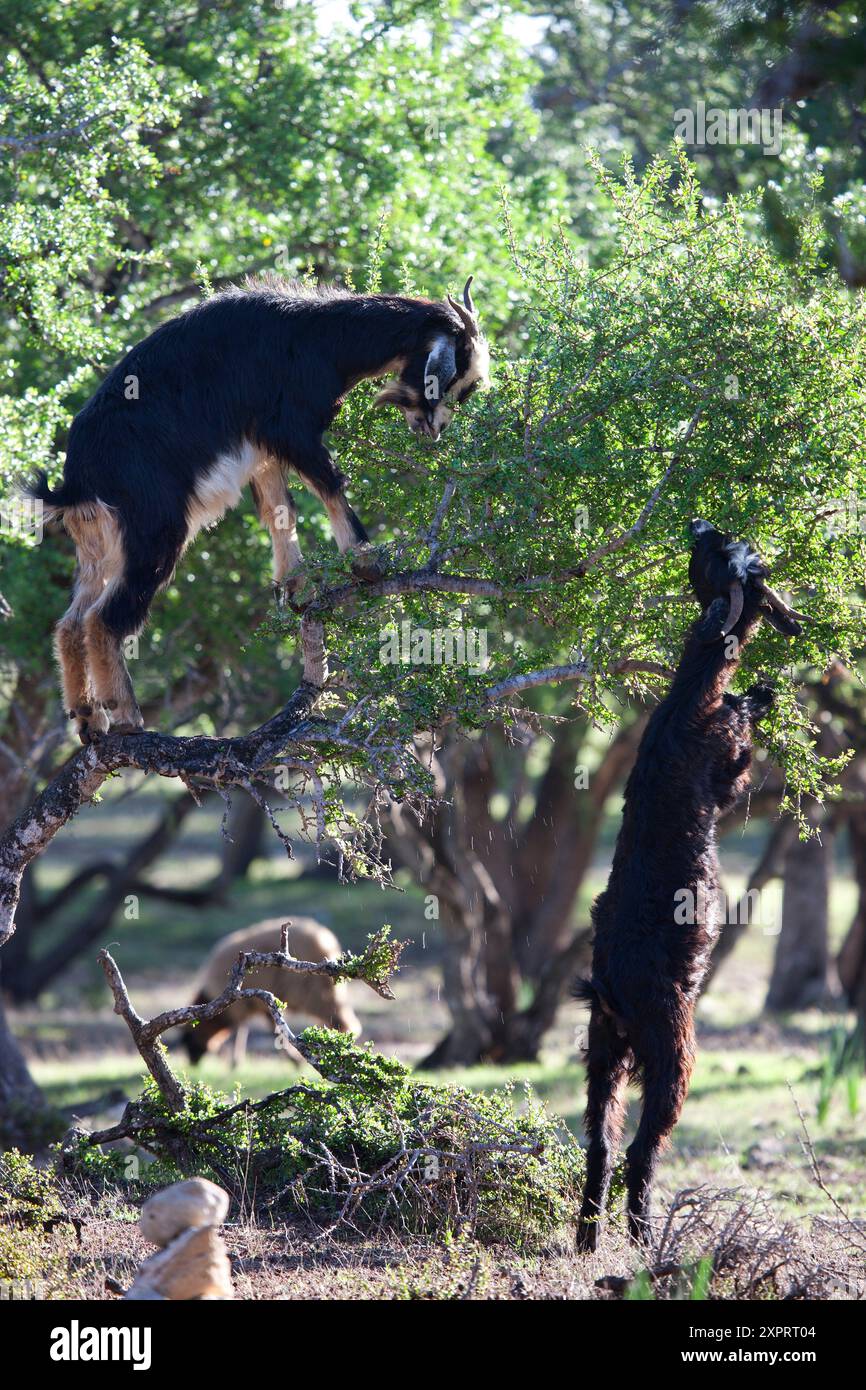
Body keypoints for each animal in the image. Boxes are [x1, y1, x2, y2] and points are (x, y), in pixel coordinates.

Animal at [30, 275, 489, 742]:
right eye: (455, 377)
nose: (435, 428)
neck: (319, 335)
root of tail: (76, 481)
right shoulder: (289, 428)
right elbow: (330, 483)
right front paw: (365, 561)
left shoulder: (262, 450)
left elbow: (279, 510)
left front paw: (297, 584)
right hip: (154, 532)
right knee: (105, 620)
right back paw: (126, 717)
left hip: (100, 545)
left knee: (71, 623)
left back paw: (89, 717)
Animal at [180, 916, 361, 1066]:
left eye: (189, 1038)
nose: (192, 1063)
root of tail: (328, 941)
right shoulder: (258, 1005)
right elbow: (271, 1028)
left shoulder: (241, 1007)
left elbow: (243, 1030)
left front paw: (235, 1062)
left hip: (315, 991)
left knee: (340, 1019)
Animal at [575, 519, 805, 1250]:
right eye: (729, 553)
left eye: (703, 553)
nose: (699, 524)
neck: (687, 699)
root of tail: (611, 985)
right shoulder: (728, 773)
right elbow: (741, 750)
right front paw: (763, 693)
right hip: (671, 1045)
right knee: (643, 1146)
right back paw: (644, 1239)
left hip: (603, 1048)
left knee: (600, 1140)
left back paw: (587, 1243)